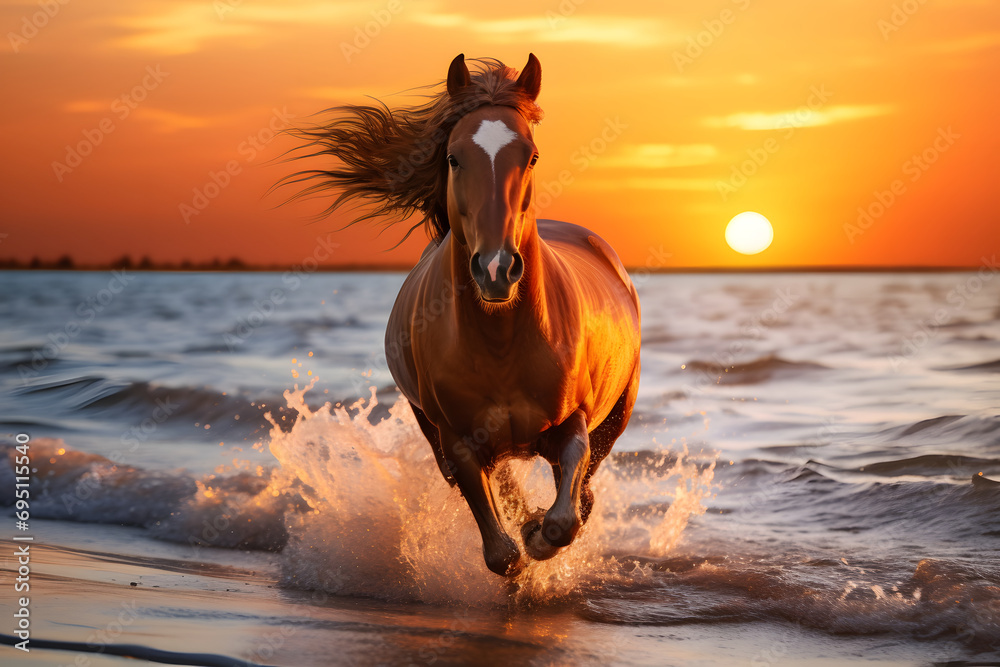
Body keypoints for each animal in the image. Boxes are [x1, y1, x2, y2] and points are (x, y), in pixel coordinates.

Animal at [284, 54, 641, 576]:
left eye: (531, 156)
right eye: (454, 157)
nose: (495, 269)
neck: (502, 341)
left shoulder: (572, 420)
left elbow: (564, 513)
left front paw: (539, 532)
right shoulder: (458, 441)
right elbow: (501, 554)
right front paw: (524, 541)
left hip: (618, 413)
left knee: (585, 486)